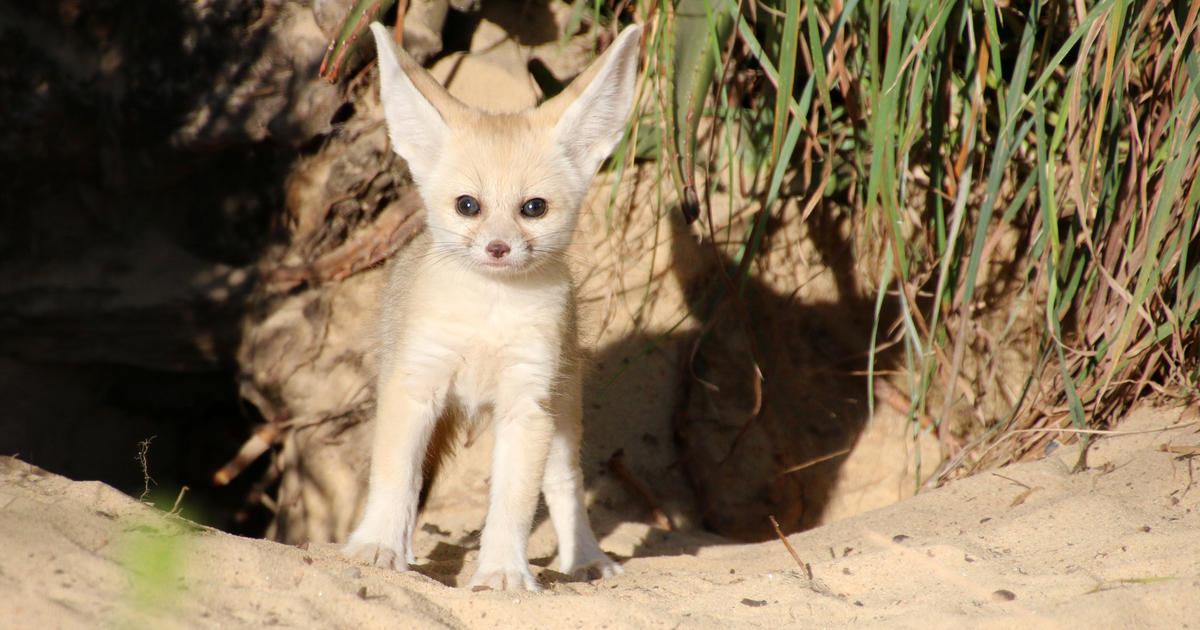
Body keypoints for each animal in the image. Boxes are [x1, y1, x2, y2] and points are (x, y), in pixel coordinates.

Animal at [342, 22, 643, 592]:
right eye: (468, 206)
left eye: (533, 208)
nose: (498, 249)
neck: (488, 315)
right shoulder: (415, 386)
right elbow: (396, 481)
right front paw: (376, 548)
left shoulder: (526, 405)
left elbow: (513, 506)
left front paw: (503, 571)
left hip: (561, 416)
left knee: (565, 486)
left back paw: (586, 558)